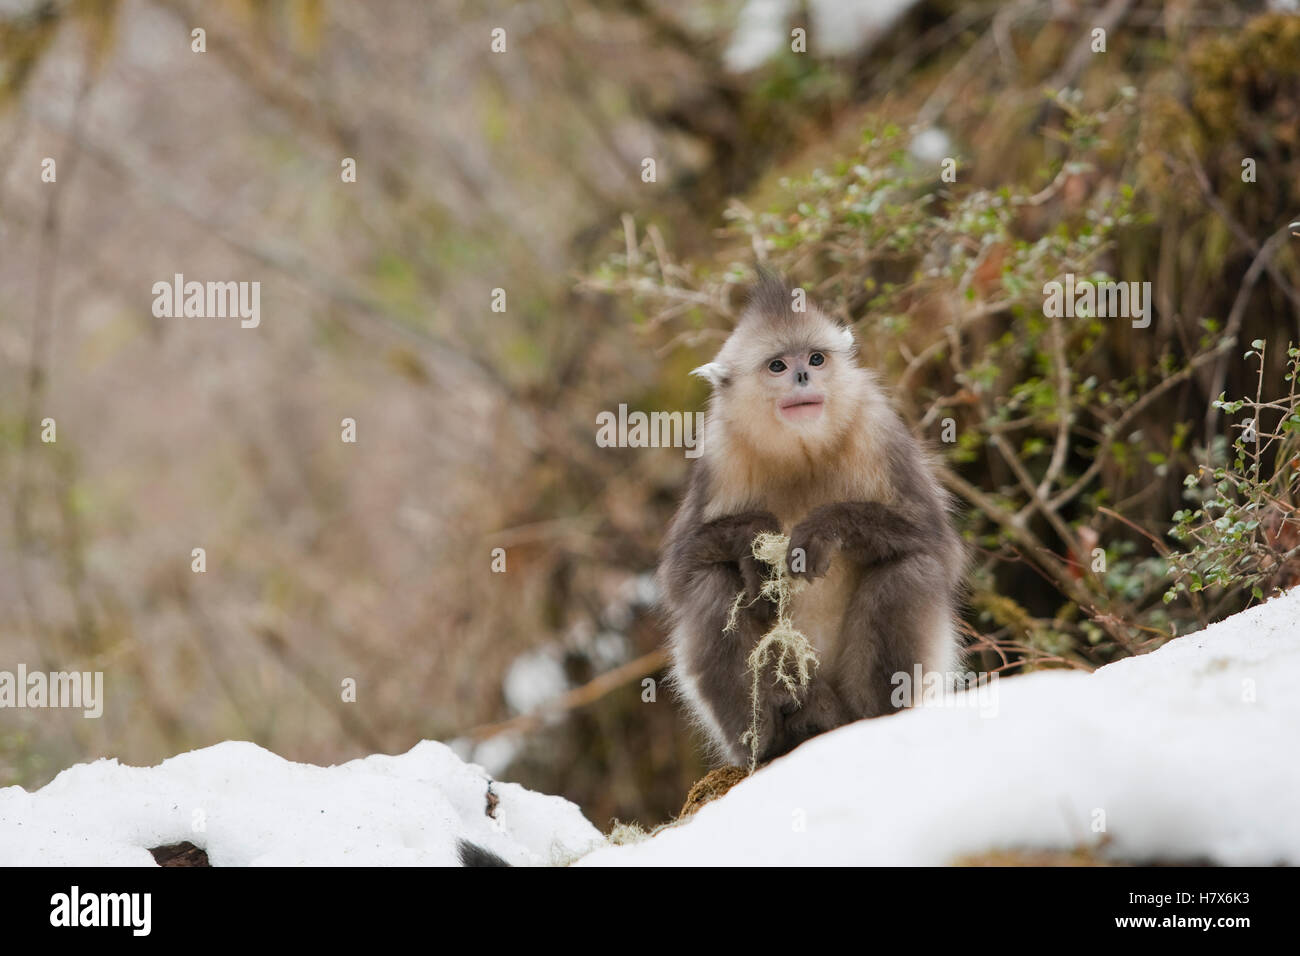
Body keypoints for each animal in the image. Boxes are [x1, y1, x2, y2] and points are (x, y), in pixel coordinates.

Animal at [658, 275, 965, 766]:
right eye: (778, 366)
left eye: (816, 359)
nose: (803, 376)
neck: (802, 454)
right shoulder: (719, 456)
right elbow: (679, 574)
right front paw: (749, 539)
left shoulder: (877, 429)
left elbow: (938, 546)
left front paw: (825, 528)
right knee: (710, 586)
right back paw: (768, 740)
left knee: (910, 570)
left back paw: (875, 722)